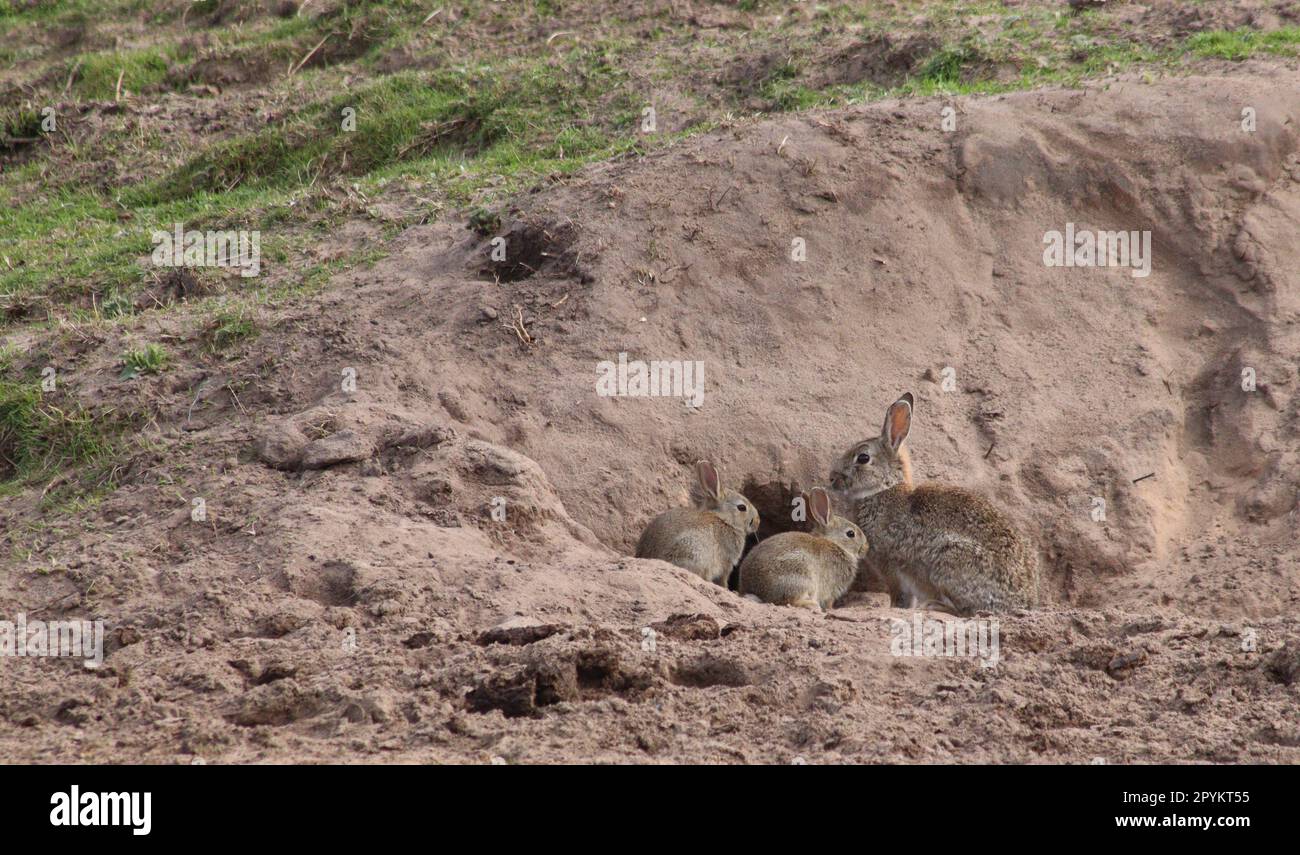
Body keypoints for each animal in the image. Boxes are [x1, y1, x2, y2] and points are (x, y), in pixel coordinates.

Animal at [738, 486, 868, 611]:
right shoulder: (831, 589)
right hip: (800, 575)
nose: (866, 547)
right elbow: (829, 602)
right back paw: (811, 605)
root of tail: (757, 591)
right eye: (851, 533)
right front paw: (831, 609)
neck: (835, 543)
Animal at [828, 392, 1039, 615]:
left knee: (967, 611)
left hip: (949, 561)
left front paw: (896, 607)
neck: (883, 489)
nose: (832, 478)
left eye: (863, 458)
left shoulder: (891, 565)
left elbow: (899, 596)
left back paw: (933, 605)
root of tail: (1021, 604)